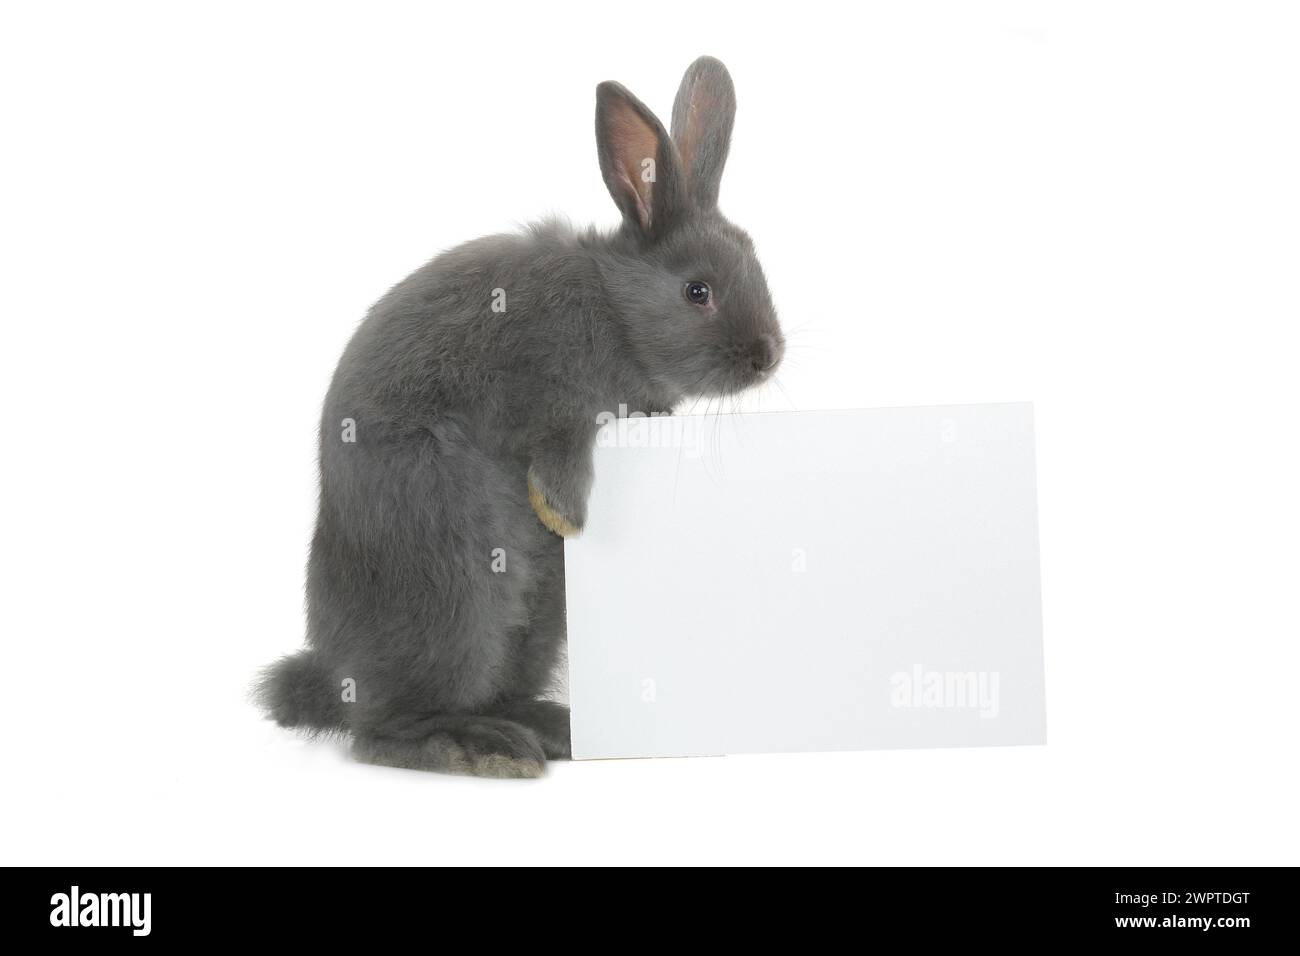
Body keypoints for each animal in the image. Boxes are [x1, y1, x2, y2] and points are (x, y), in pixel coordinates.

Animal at [255, 56, 784, 778]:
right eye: (697, 291)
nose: (768, 356)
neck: (614, 307)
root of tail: (337, 672)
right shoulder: (542, 395)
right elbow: (561, 438)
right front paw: (562, 508)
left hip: (538, 618)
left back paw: (550, 729)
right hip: (456, 590)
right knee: (381, 731)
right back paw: (479, 747)